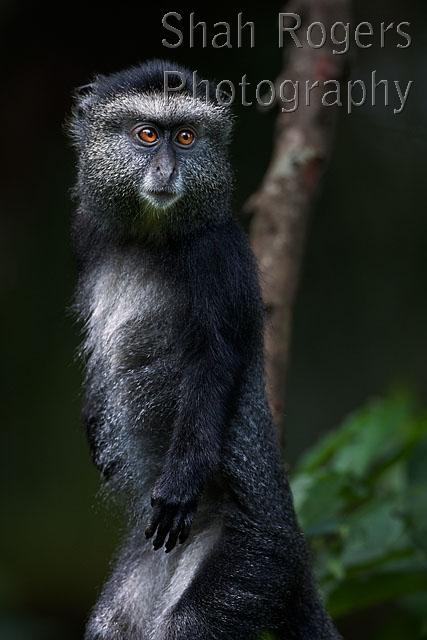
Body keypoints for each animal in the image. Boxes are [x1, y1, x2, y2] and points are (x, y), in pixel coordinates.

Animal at [69, 59, 340, 640]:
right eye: (149, 136)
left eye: (187, 138)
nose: (167, 172)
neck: (149, 238)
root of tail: (300, 561)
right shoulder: (88, 237)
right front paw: (96, 422)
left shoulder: (219, 257)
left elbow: (214, 363)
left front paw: (179, 481)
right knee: (112, 626)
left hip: (254, 561)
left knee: (189, 624)